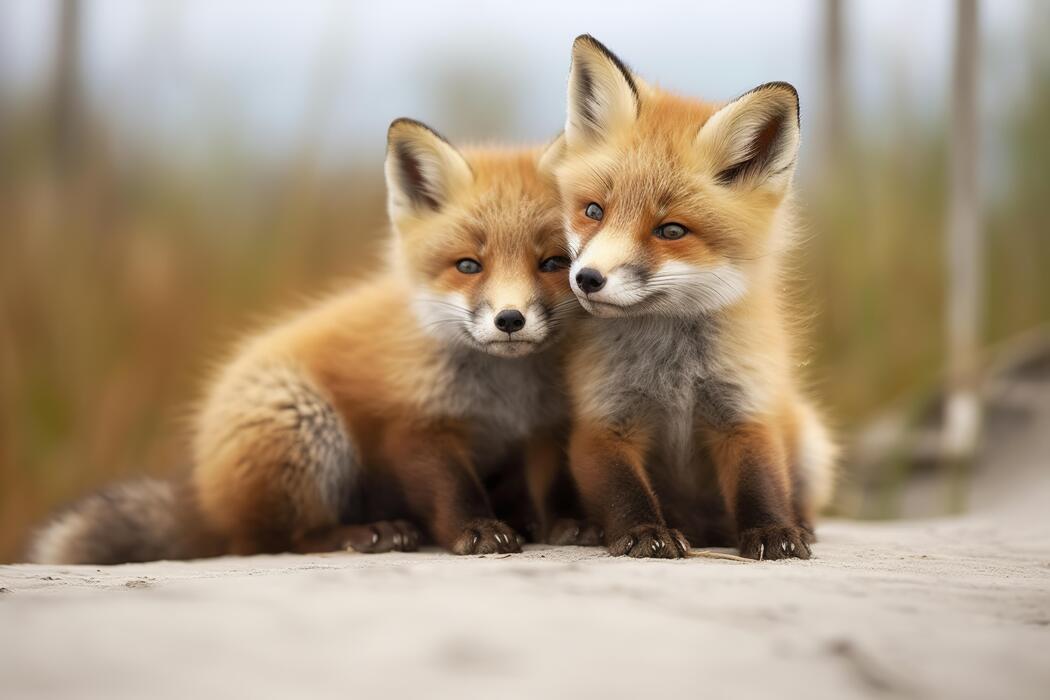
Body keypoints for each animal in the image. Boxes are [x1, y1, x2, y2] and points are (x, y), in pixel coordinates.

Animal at [28, 117, 589, 564]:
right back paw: (367, 533)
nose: (510, 319)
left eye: (553, 263)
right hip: (305, 426)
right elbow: (452, 490)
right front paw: (476, 530)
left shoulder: (539, 429)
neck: (506, 397)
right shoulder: (415, 423)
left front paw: (561, 523)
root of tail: (207, 499)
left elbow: (549, 484)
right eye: (468, 266)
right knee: (272, 540)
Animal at [544, 36, 837, 560]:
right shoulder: (603, 420)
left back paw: (801, 524)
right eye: (594, 211)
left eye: (671, 231)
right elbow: (624, 490)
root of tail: (705, 527)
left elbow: (761, 480)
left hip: (810, 440)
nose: (587, 279)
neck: (674, 370)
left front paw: (774, 531)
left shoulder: (746, 408)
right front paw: (645, 531)